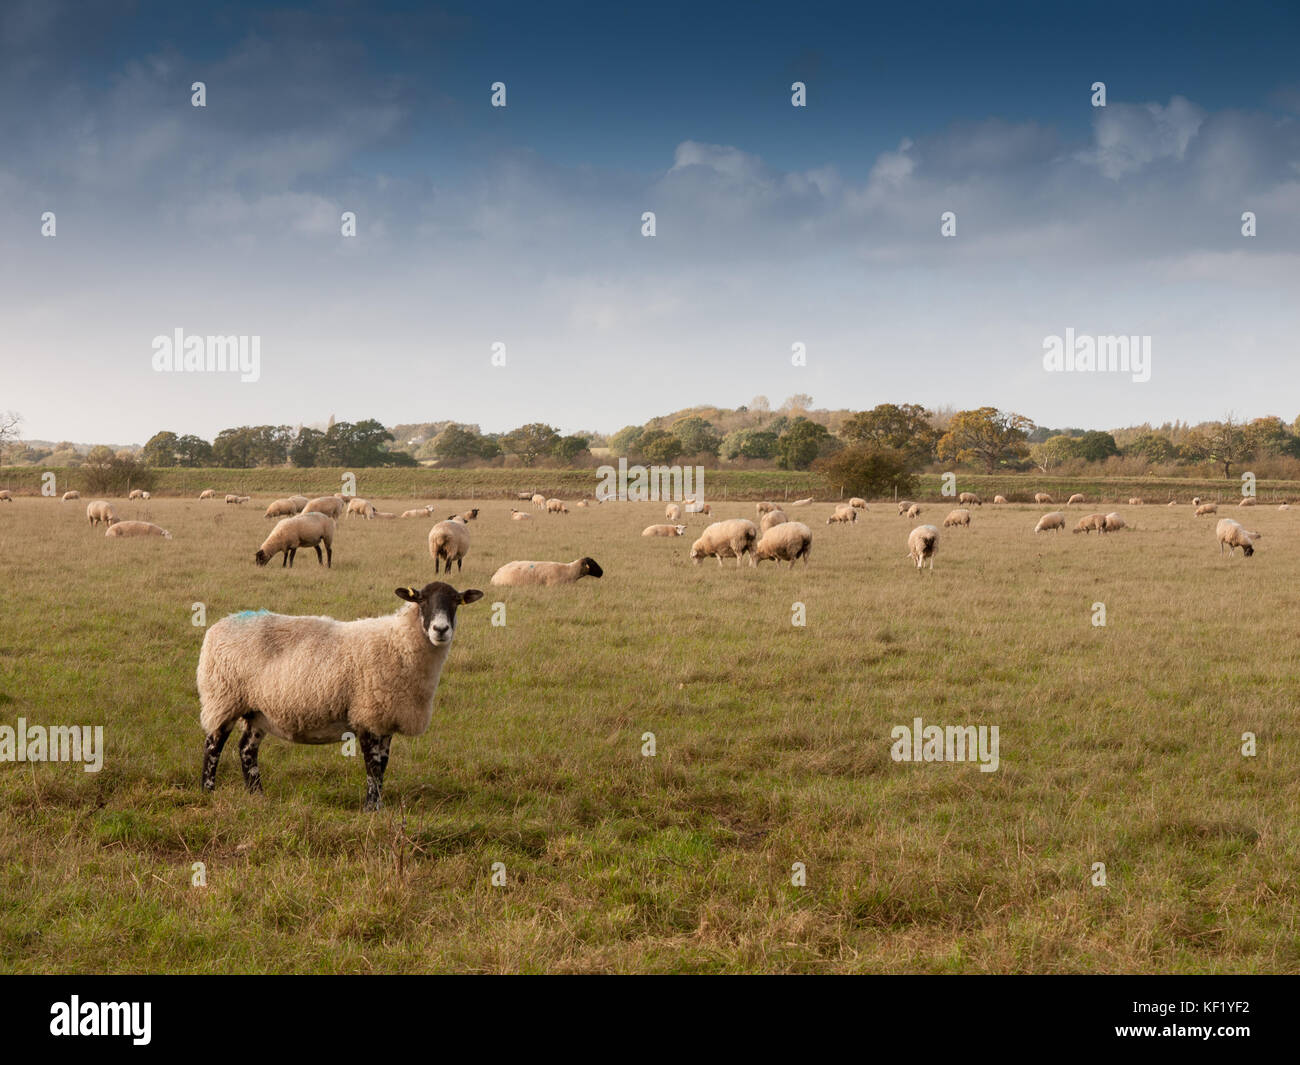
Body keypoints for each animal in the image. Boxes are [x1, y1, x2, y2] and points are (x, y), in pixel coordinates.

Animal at [198, 581, 484, 809]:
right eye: (422, 599)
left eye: (456, 601)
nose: (440, 629)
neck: (399, 643)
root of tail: (220, 624)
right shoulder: (367, 715)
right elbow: (373, 766)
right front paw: (372, 808)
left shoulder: (385, 719)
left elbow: (383, 765)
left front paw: (377, 805)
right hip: (223, 699)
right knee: (213, 745)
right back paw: (208, 791)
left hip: (256, 710)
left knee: (246, 748)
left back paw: (257, 795)